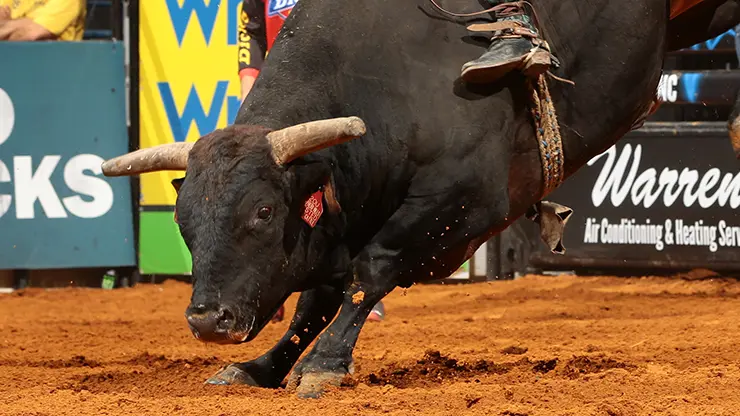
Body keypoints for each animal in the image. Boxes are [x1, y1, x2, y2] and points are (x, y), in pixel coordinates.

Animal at [102, 0, 740, 399]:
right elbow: (314, 301)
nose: (207, 320)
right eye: (182, 221)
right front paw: (260, 367)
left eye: (262, 212)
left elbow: (369, 273)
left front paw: (324, 367)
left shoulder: (464, 199)